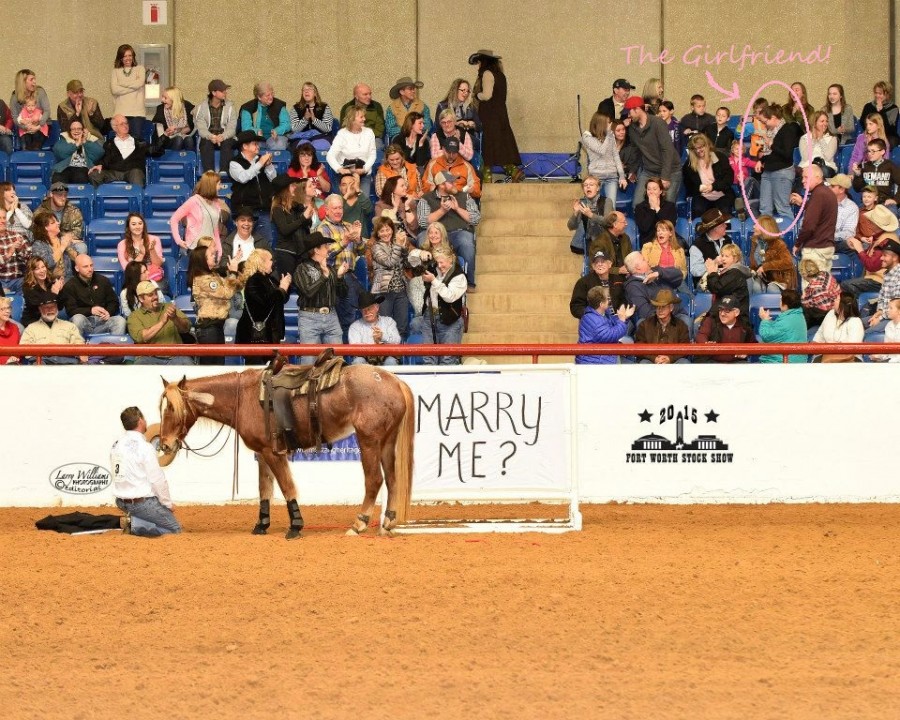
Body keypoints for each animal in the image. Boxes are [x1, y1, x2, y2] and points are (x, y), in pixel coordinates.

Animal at [154, 364, 415, 539]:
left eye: (172, 408)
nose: (165, 445)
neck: (245, 397)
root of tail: (395, 381)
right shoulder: (262, 454)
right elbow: (265, 489)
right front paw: (261, 525)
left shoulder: (273, 453)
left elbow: (286, 487)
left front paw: (295, 526)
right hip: (387, 441)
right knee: (392, 479)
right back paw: (388, 523)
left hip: (369, 441)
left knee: (374, 480)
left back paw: (358, 524)